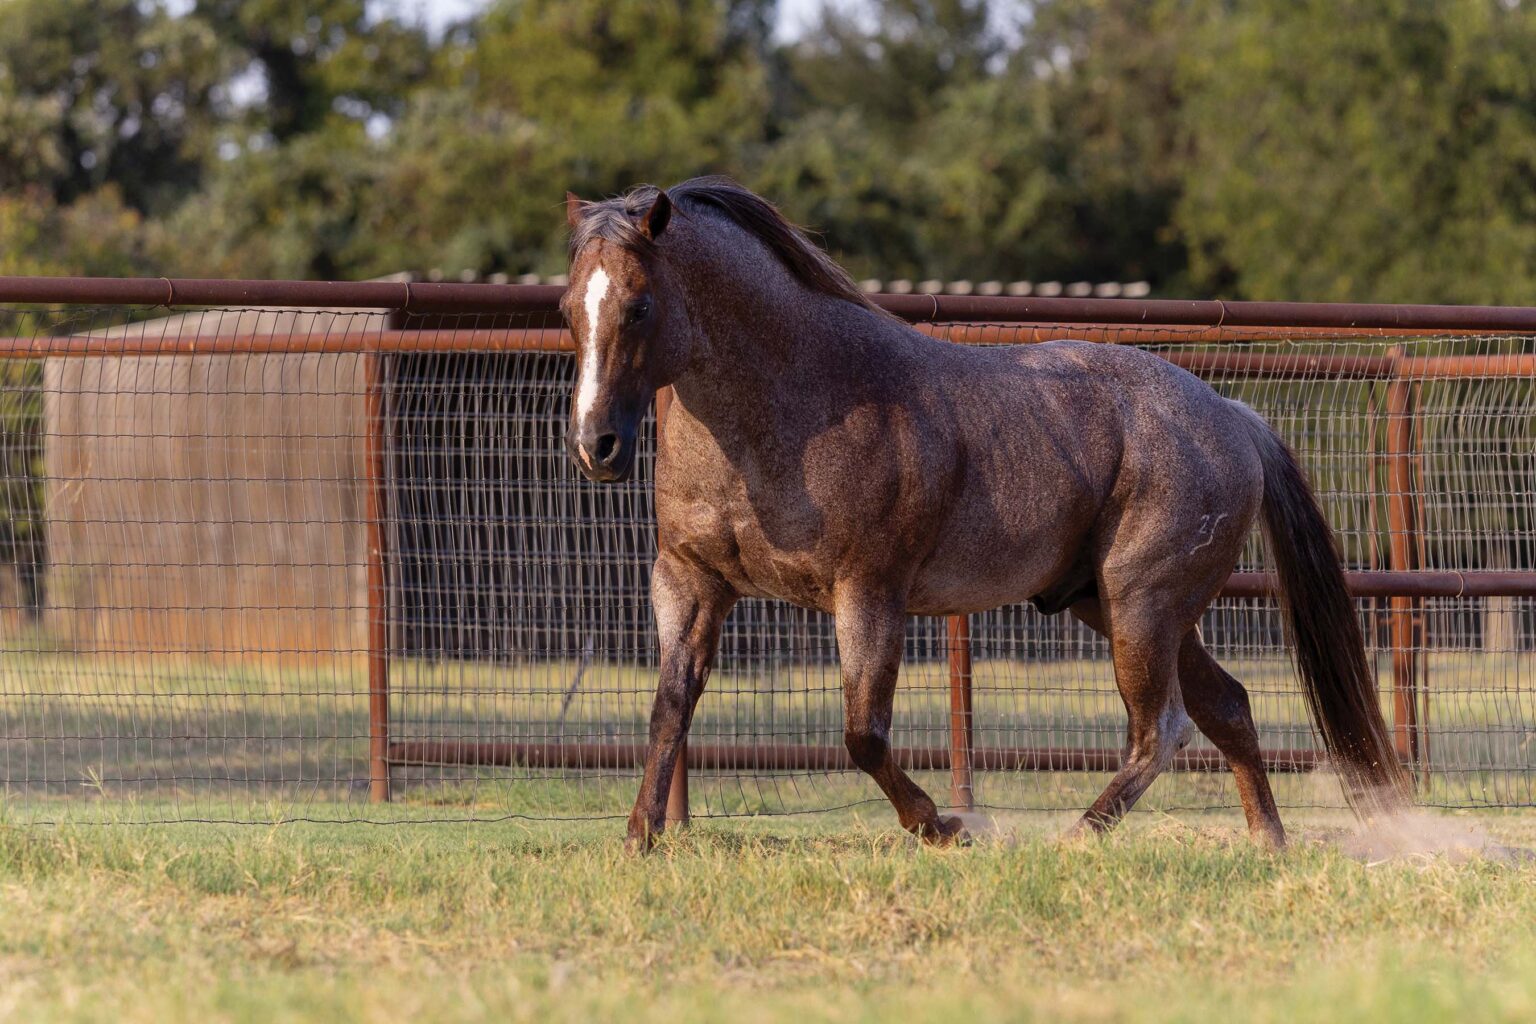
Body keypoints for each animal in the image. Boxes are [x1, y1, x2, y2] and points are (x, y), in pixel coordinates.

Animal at [560, 177, 1411, 851]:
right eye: (570, 308)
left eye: (639, 306)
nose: (595, 445)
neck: (798, 405)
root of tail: (1232, 415)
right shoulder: (691, 581)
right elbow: (670, 706)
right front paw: (639, 837)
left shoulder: (869, 592)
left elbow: (862, 734)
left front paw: (945, 826)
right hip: (1119, 606)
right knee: (1226, 706)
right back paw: (1269, 843)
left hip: (1144, 604)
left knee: (1160, 726)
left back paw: (1078, 837)